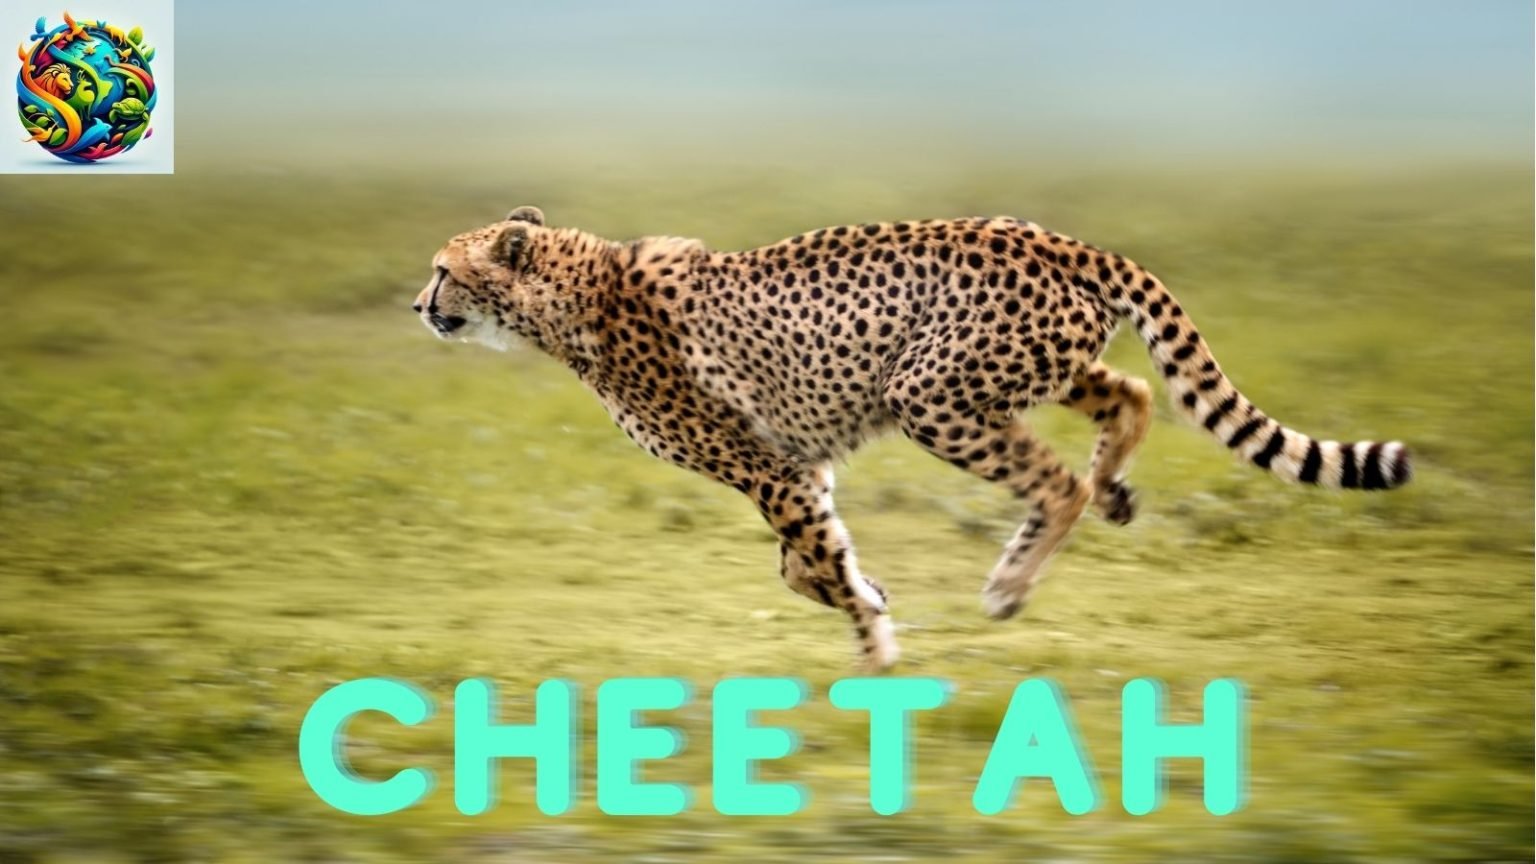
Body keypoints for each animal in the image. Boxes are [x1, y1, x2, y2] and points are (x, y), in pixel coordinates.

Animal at [413, 205, 1412, 672]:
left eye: (442, 271)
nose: (420, 305)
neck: (570, 293)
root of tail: (1052, 238)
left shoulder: (769, 470)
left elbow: (810, 560)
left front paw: (875, 656)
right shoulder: (797, 467)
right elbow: (804, 564)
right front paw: (872, 597)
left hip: (932, 394)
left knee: (1058, 482)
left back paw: (1012, 583)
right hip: (1027, 368)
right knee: (1129, 393)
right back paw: (1117, 491)